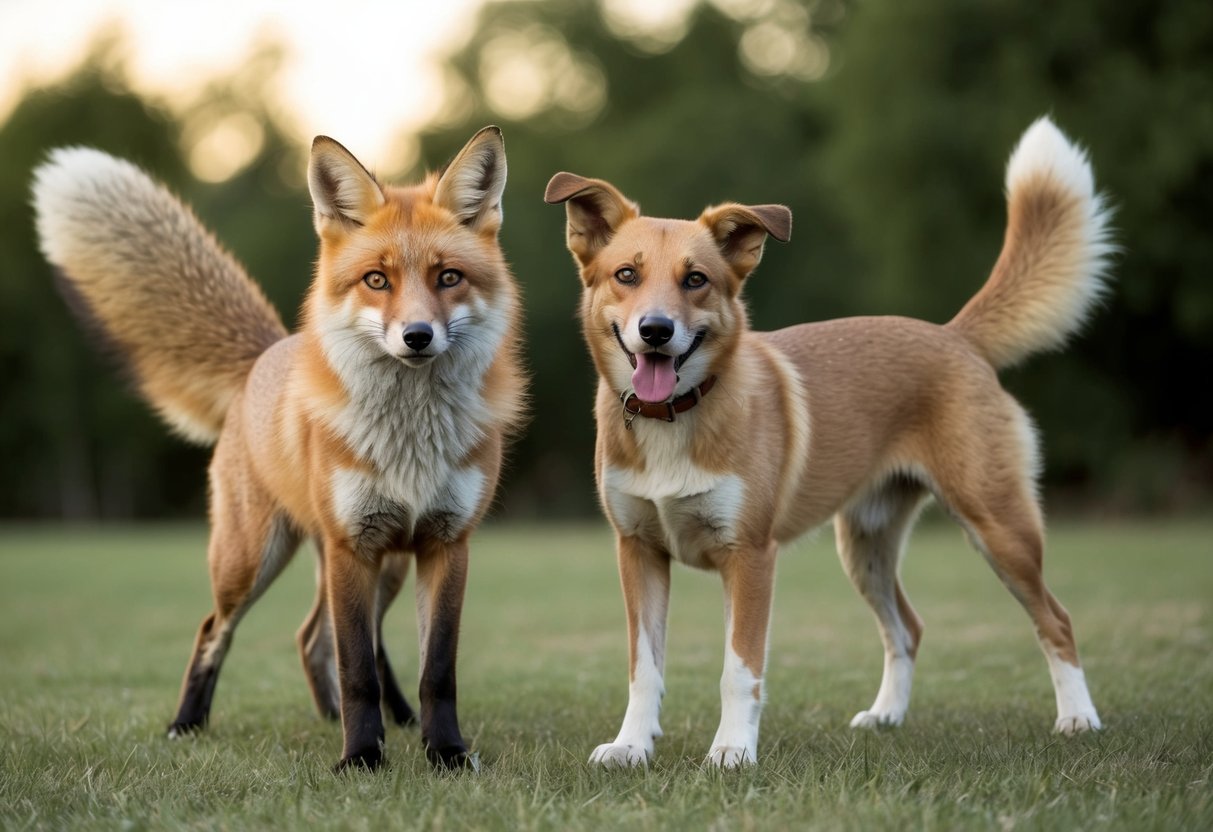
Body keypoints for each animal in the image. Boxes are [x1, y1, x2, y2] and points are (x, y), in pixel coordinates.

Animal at [32, 126, 525, 771]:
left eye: (449, 278)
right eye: (377, 280)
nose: (417, 336)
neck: (409, 440)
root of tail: (269, 353)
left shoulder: (447, 543)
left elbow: (436, 670)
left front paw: (443, 752)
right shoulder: (351, 545)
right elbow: (356, 668)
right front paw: (360, 758)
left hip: (385, 565)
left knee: (320, 639)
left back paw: (372, 718)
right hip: (251, 558)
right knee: (219, 630)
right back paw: (190, 723)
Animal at [545, 117, 1111, 767]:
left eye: (696, 280)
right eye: (626, 274)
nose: (656, 331)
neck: (674, 419)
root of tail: (955, 336)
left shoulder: (749, 557)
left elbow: (739, 670)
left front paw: (732, 751)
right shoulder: (638, 550)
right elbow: (645, 668)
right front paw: (632, 746)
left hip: (998, 526)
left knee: (1056, 620)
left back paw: (1078, 717)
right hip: (865, 545)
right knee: (908, 627)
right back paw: (887, 716)